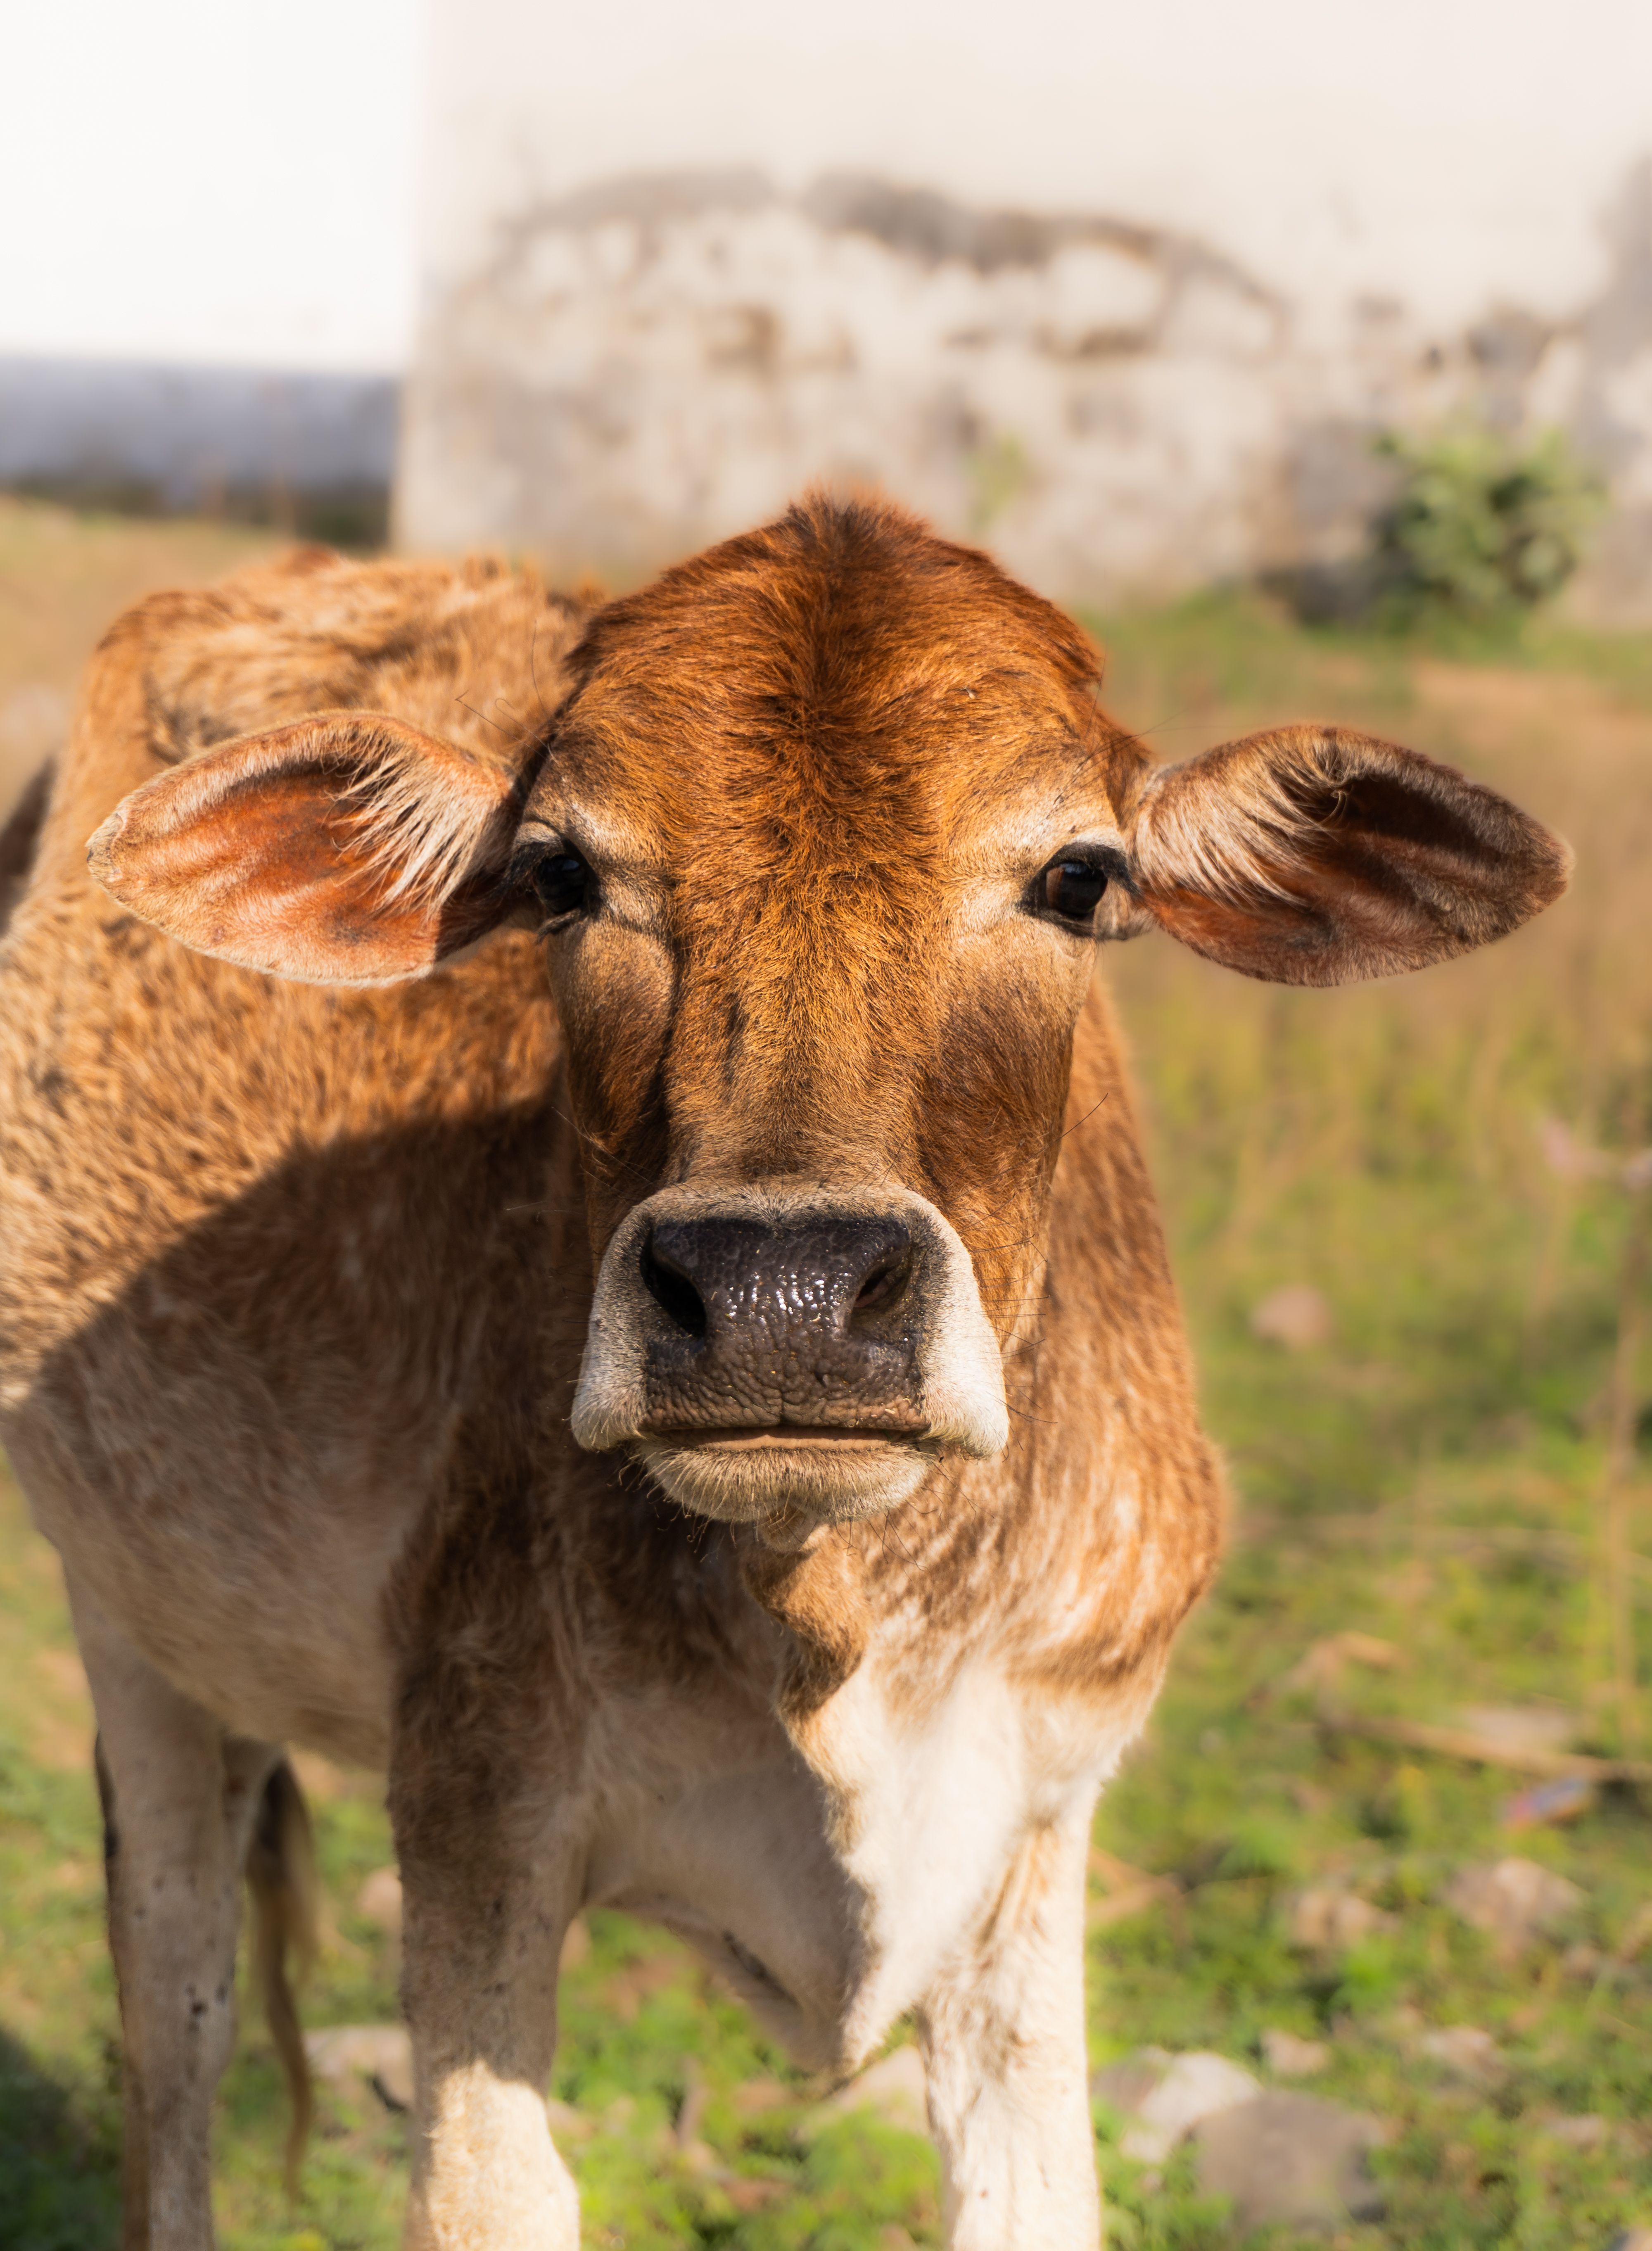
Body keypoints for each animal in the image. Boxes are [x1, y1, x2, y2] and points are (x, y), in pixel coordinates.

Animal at [0, 495, 1567, 2249]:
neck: (833, 1609)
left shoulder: (1037, 1818)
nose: (779, 1298)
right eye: (559, 874)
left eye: (1077, 877)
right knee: (178, 2018)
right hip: (126, 1628)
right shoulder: (474, 1795)